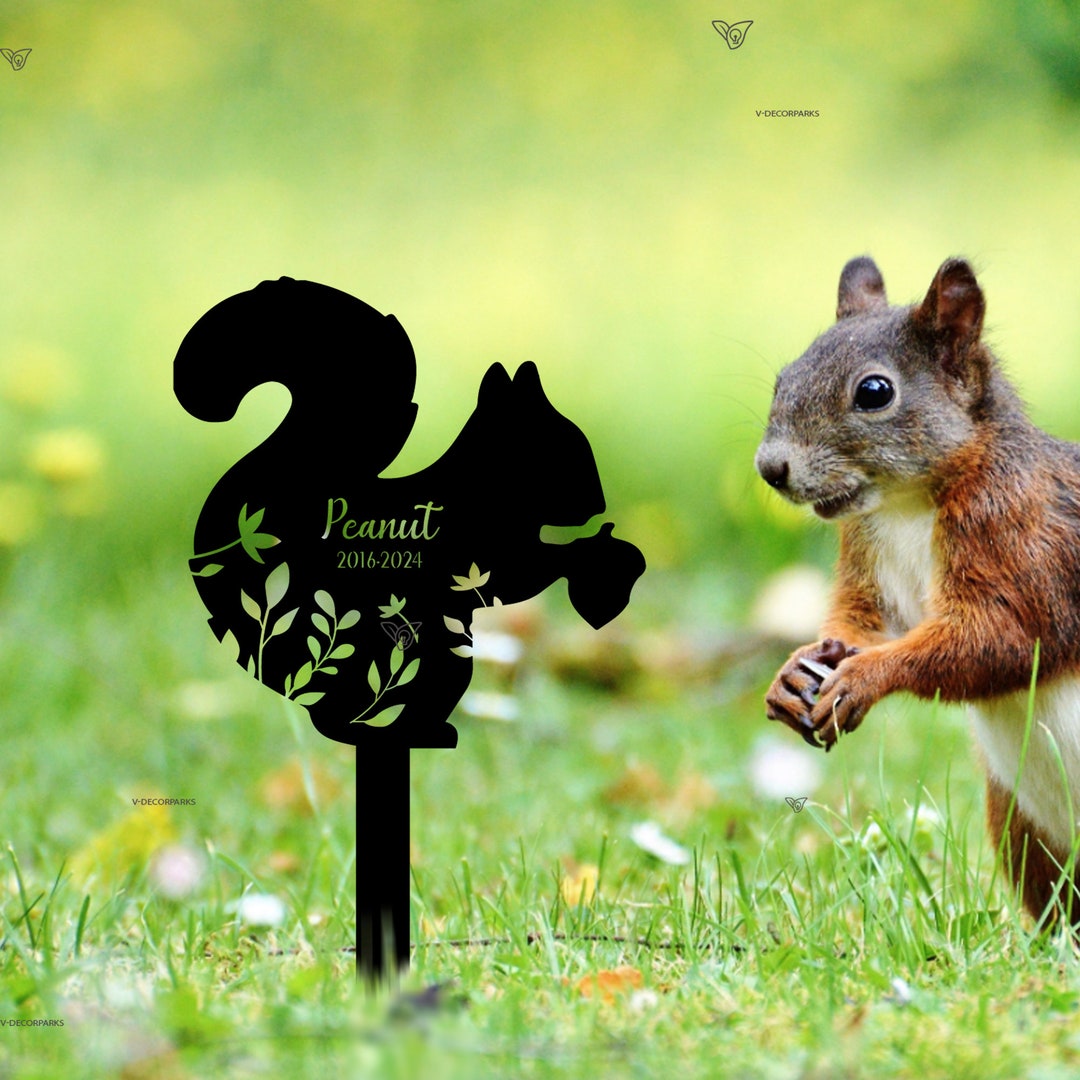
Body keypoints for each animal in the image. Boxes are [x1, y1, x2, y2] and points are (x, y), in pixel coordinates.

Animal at [755, 254, 1080, 923]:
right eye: (782, 379)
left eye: (874, 392)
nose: (771, 468)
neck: (906, 503)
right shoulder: (870, 561)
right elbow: (865, 622)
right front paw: (795, 672)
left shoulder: (1026, 545)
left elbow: (1000, 640)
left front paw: (864, 677)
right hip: (1022, 825)